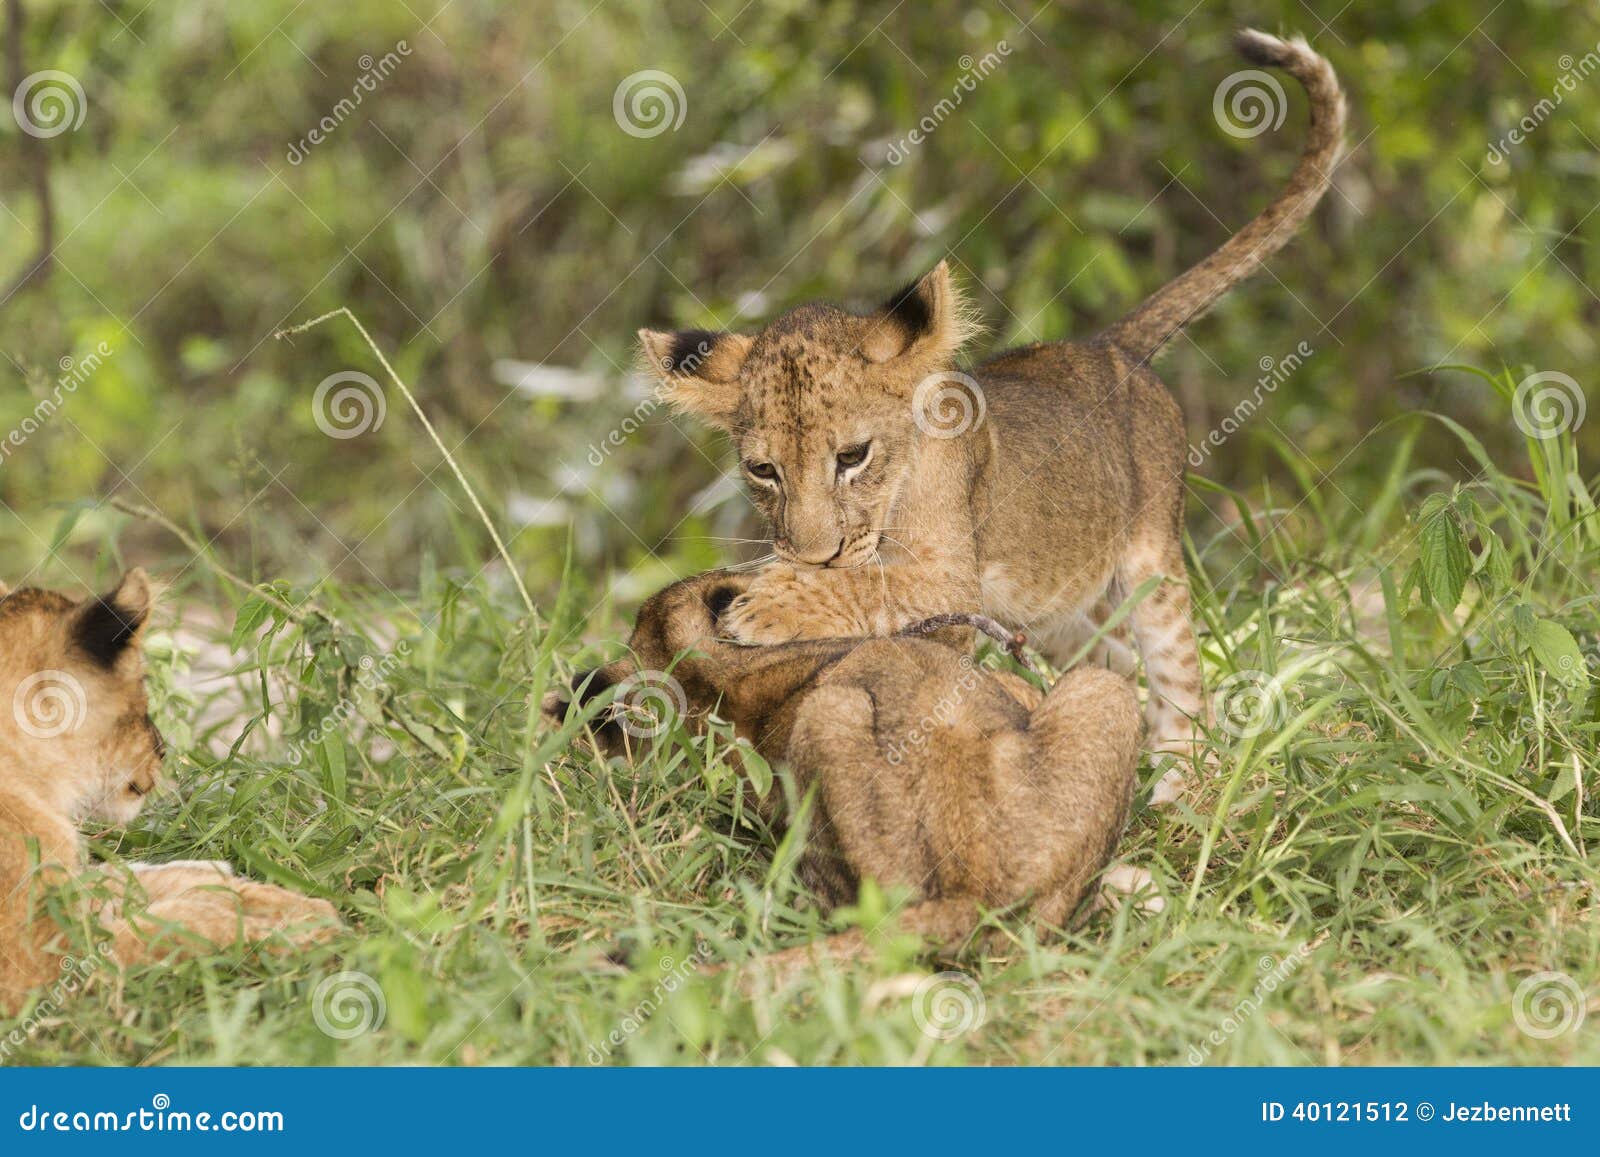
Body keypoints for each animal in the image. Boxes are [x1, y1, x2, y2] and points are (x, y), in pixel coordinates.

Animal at [0, 570, 339, 1015]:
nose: (163, 751)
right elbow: (179, 926)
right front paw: (291, 927)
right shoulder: (41, 971)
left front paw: (245, 886)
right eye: (142, 697)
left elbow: (123, 878)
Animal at [635, 31, 1344, 800]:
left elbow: (868, 580)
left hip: (1152, 563)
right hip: (1064, 607)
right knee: (1113, 665)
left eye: (852, 457)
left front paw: (770, 603)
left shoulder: (949, 577)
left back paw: (1181, 787)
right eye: (764, 471)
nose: (812, 553)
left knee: (1184, 686)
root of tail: (1108, 344)